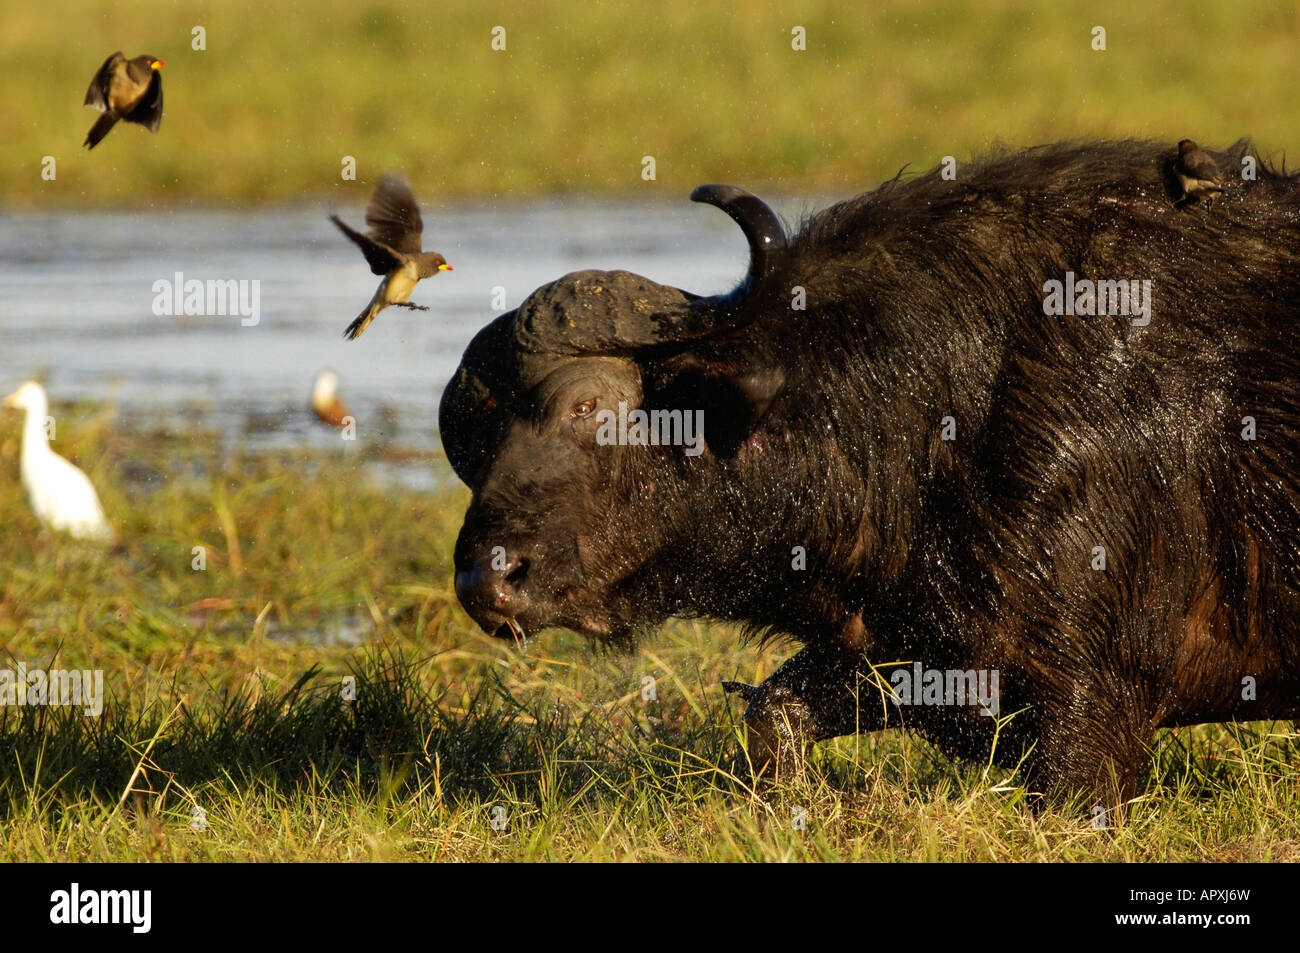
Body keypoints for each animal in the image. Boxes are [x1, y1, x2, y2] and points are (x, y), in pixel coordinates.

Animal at [439, 139, 1300, 804]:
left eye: (587, 404)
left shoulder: (1090, 706)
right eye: (477, 443)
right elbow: (773, 716)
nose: (487, 579)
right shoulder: (911, 645)